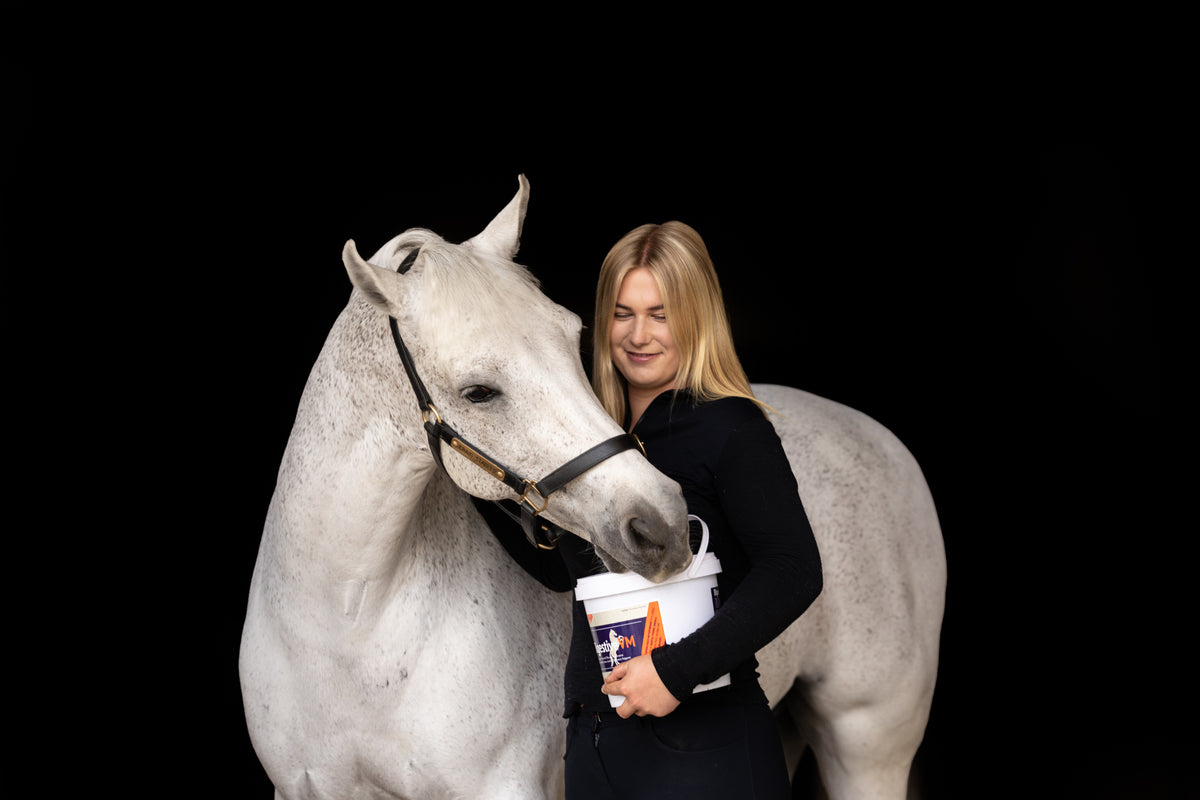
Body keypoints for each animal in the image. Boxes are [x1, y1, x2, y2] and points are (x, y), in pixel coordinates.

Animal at [240, 175, 946, 800]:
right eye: (478, 391)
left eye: (573, 335)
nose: (662, 525)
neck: (349, 630)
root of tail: (878, 439)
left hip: (867, 743)